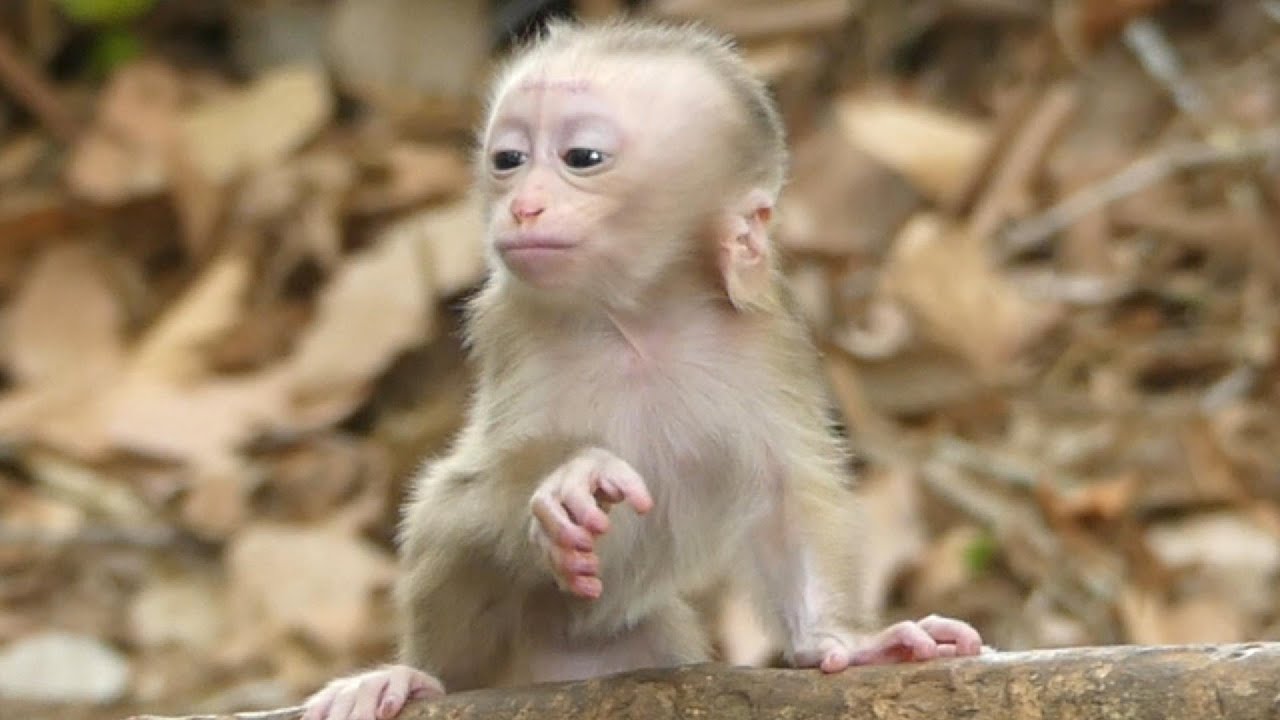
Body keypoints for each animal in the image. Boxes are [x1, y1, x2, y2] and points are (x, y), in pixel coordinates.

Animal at [302, 18, 983, 720]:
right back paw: (415, 676)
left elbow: (783, 494)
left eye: (581, 158)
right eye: (508, 160)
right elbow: (474, 482)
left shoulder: (767, 340)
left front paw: (844, 641)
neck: (639, 322)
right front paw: (571, 480)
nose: (523, 207)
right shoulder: (512, 327)